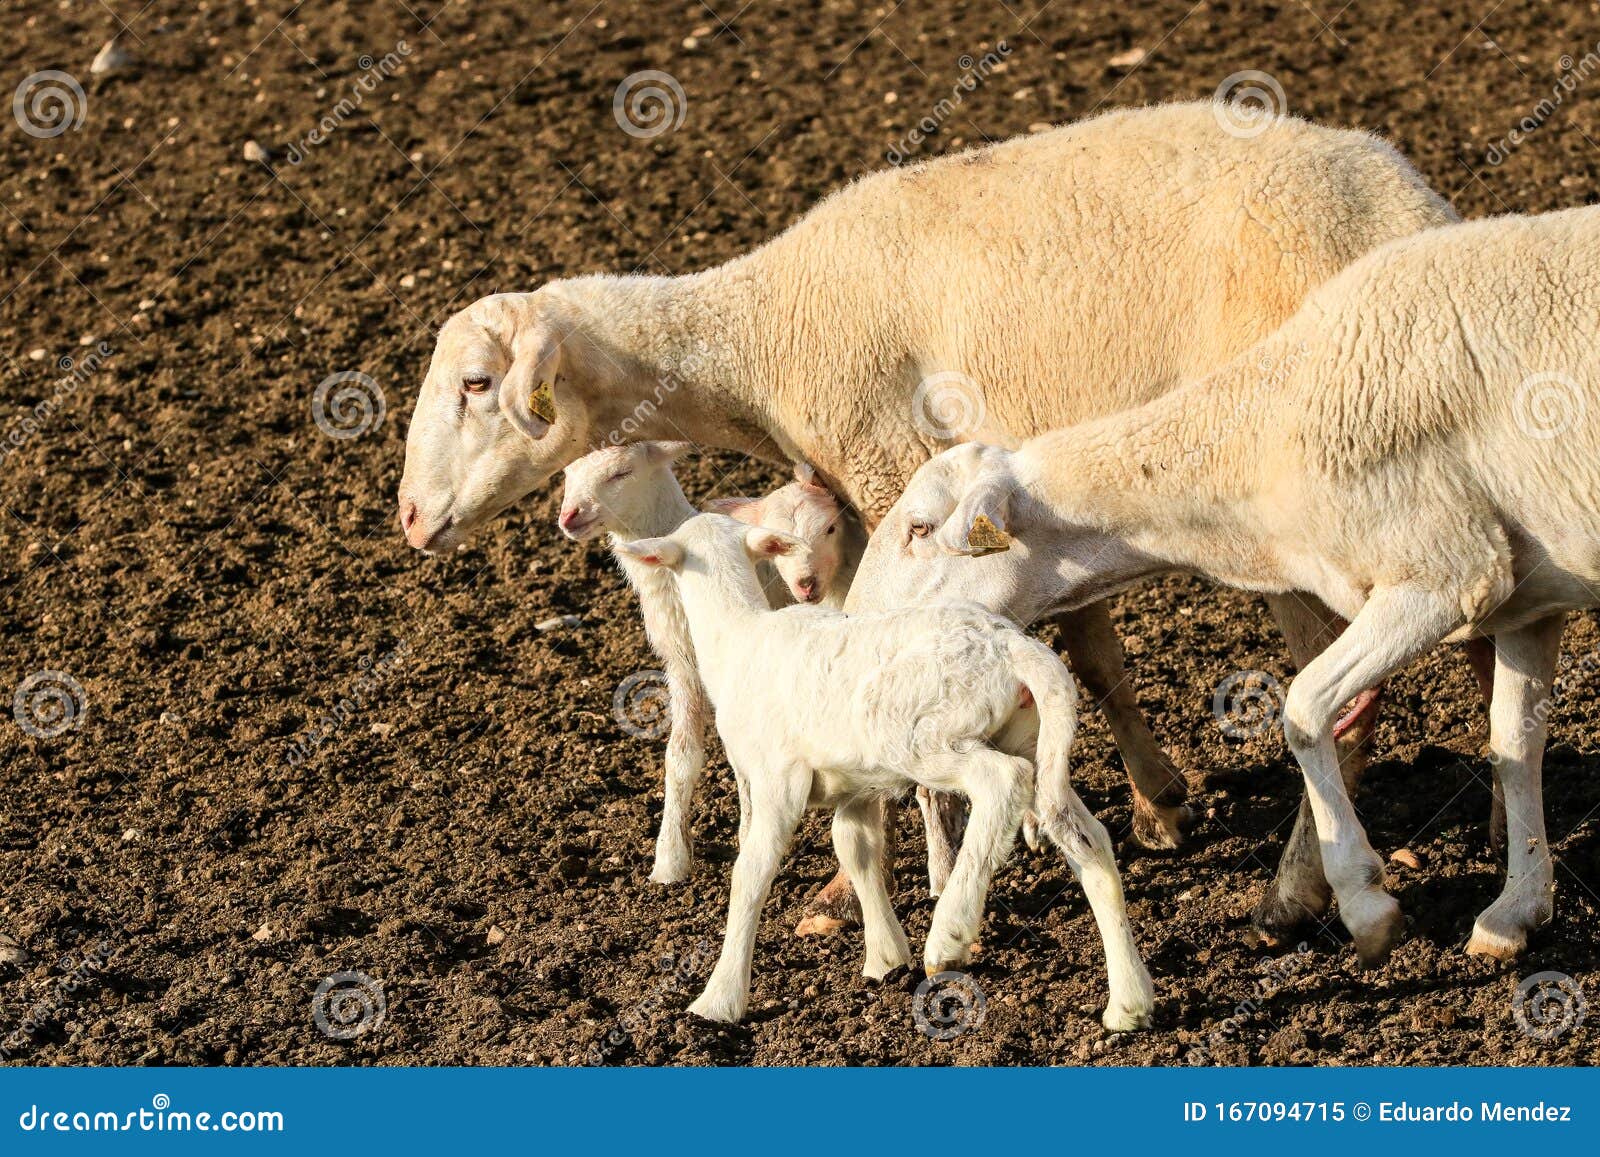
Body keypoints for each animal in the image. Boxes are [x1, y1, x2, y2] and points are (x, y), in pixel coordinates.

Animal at [558, 443, 859, 883]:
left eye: (622, 472)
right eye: (567, 472)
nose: (570, 516)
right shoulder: (683, 664)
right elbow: (680, 757)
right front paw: (669, 860)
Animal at [612, 512, 1155, 1029]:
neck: (737, 638)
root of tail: (1011, 646)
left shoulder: (777, 779)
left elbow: (752, 870)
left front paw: (719, 1000)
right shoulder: (852, 789)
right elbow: (856, 853)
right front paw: (885, 959)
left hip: (927, 735)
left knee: (1002, 782)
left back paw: (949, 934)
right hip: (1032, 737)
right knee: (1087, 839)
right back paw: (1129, 1003)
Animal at [849, 203, 1600, 967]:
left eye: (918, 528)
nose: (852, 621)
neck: (1260, 443)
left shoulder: (1449, 573)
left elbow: (1304, 711)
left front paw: (1366, 904)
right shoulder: (1524, 600)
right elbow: (1515, 743)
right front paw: (1515, 910)